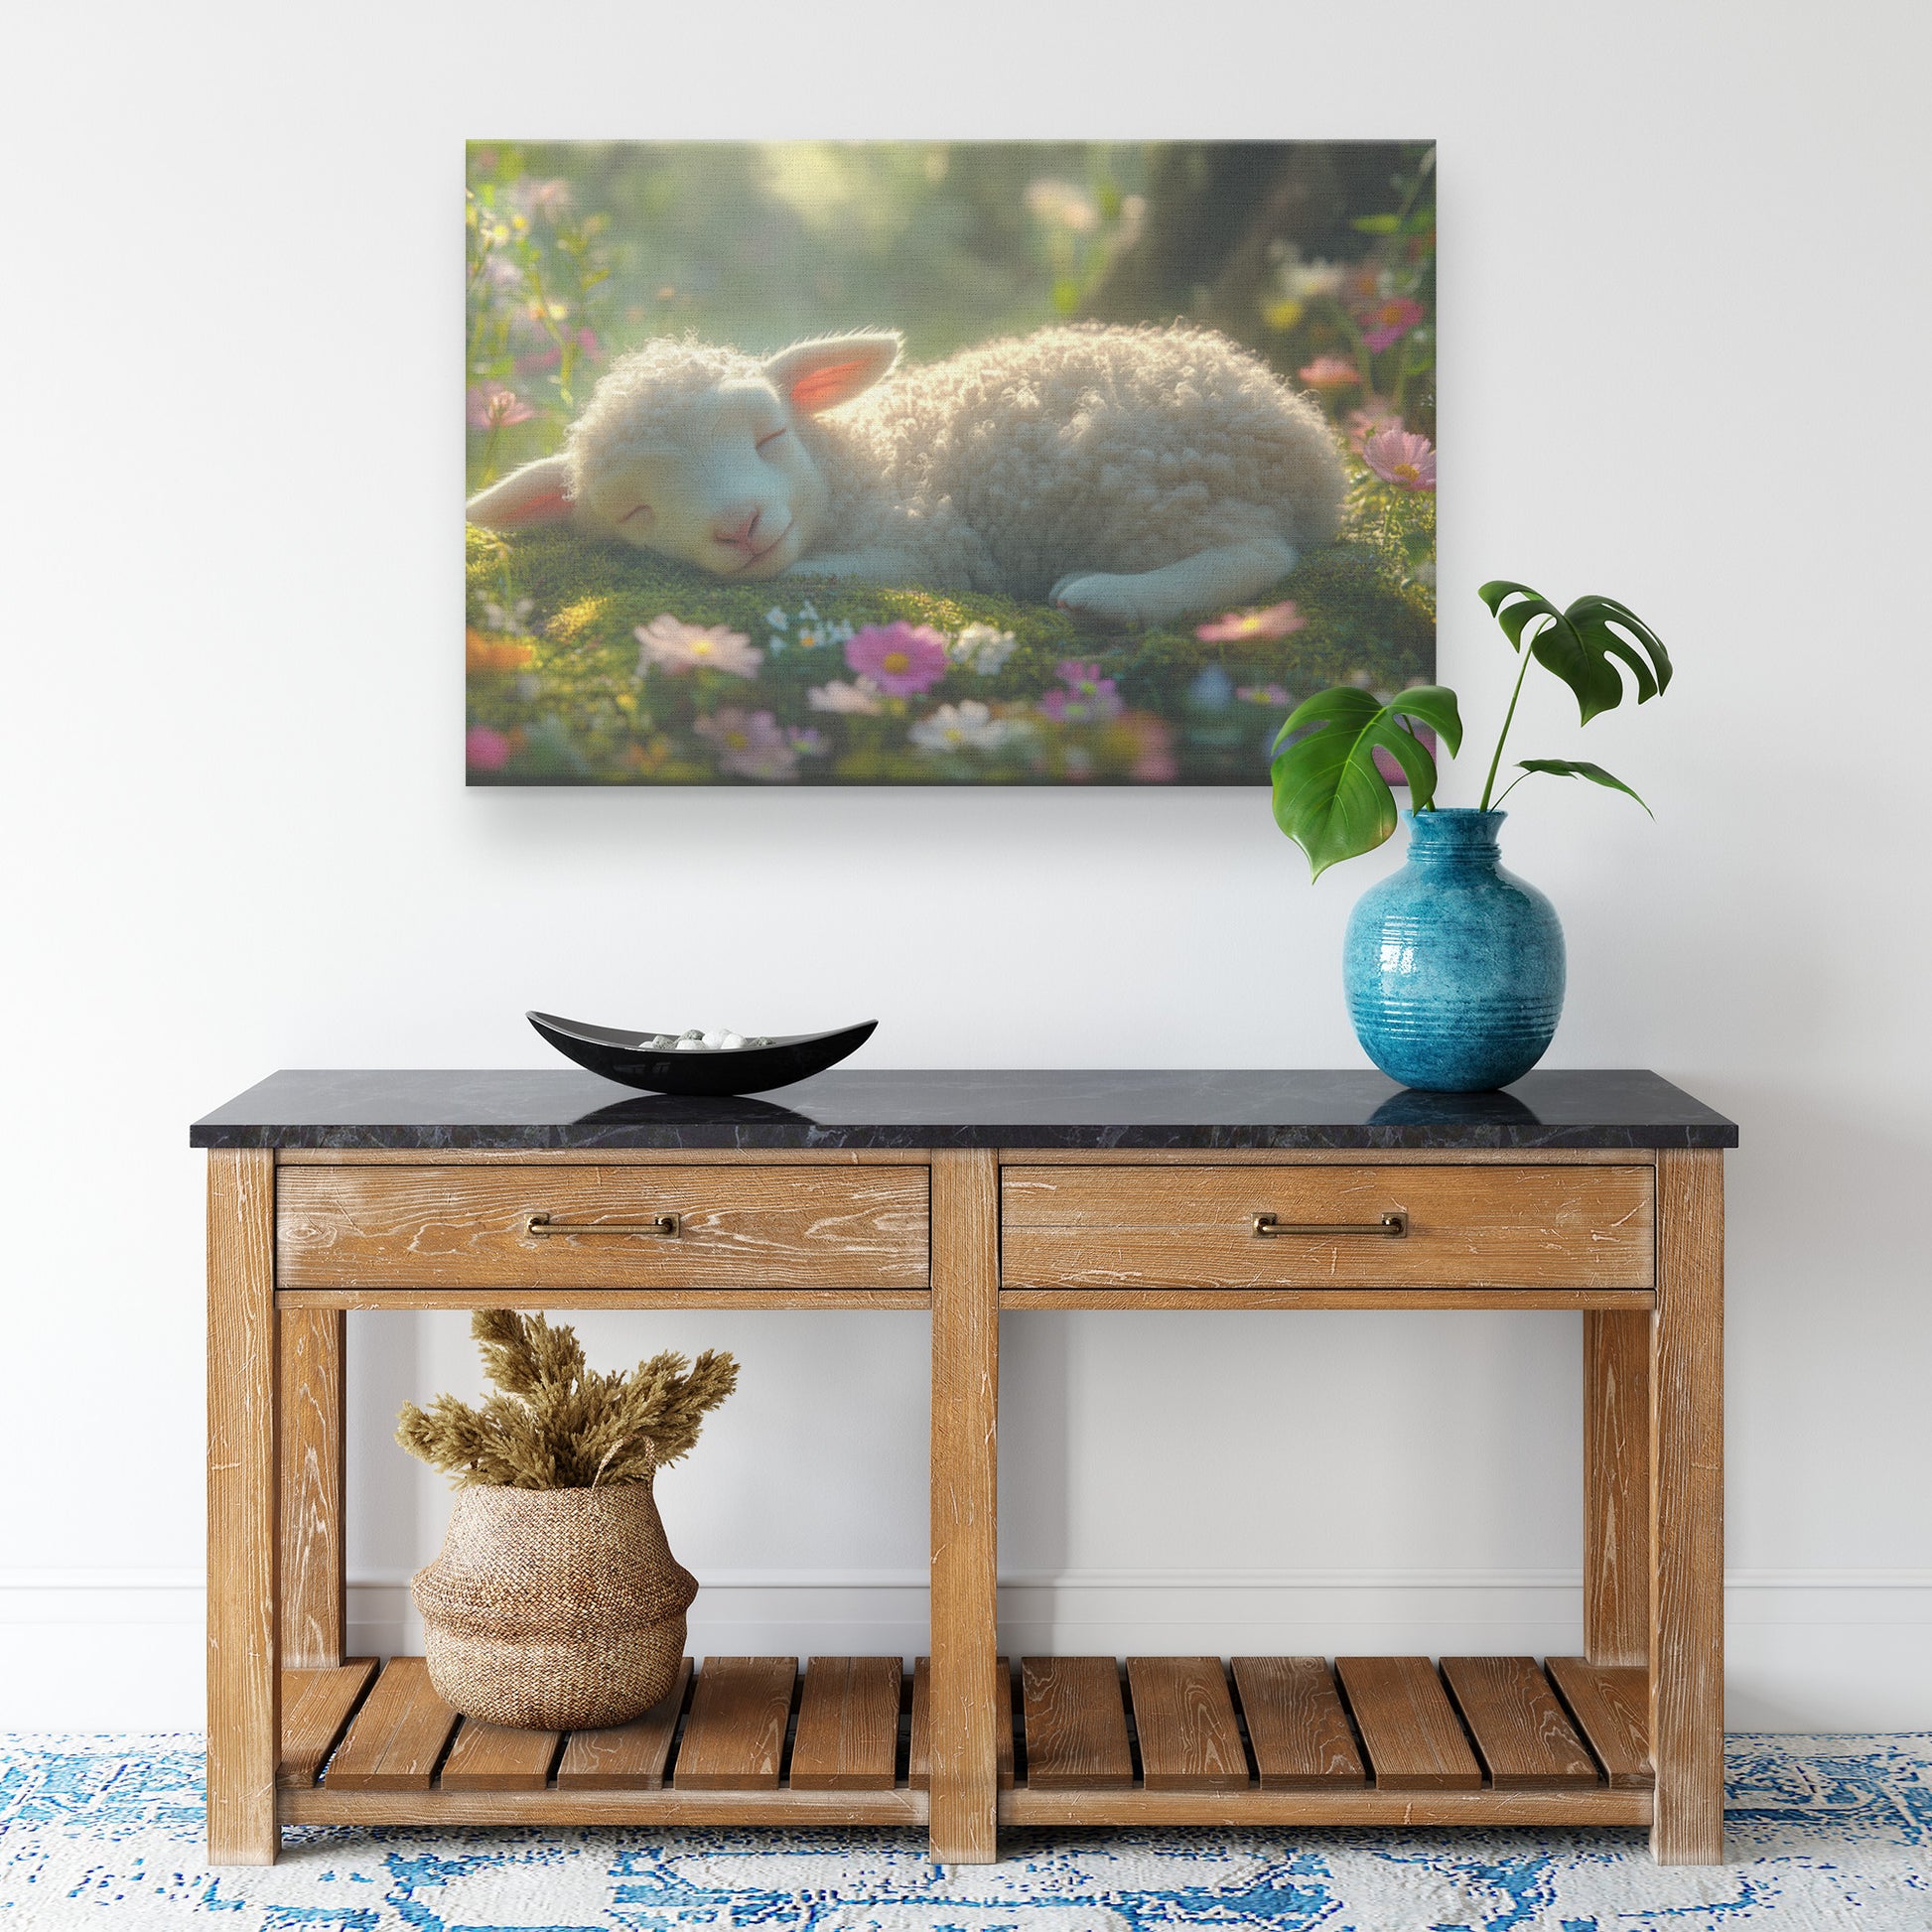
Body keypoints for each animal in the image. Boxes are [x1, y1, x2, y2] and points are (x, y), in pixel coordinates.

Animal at [466, 321, 1346, 628]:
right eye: (635, 513)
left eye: (769, 434)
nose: (741, 527)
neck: (861, 456)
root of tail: (1308, 445)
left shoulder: (931, 541)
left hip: (1155, 477)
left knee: (1256, 555)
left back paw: (1107, 595)